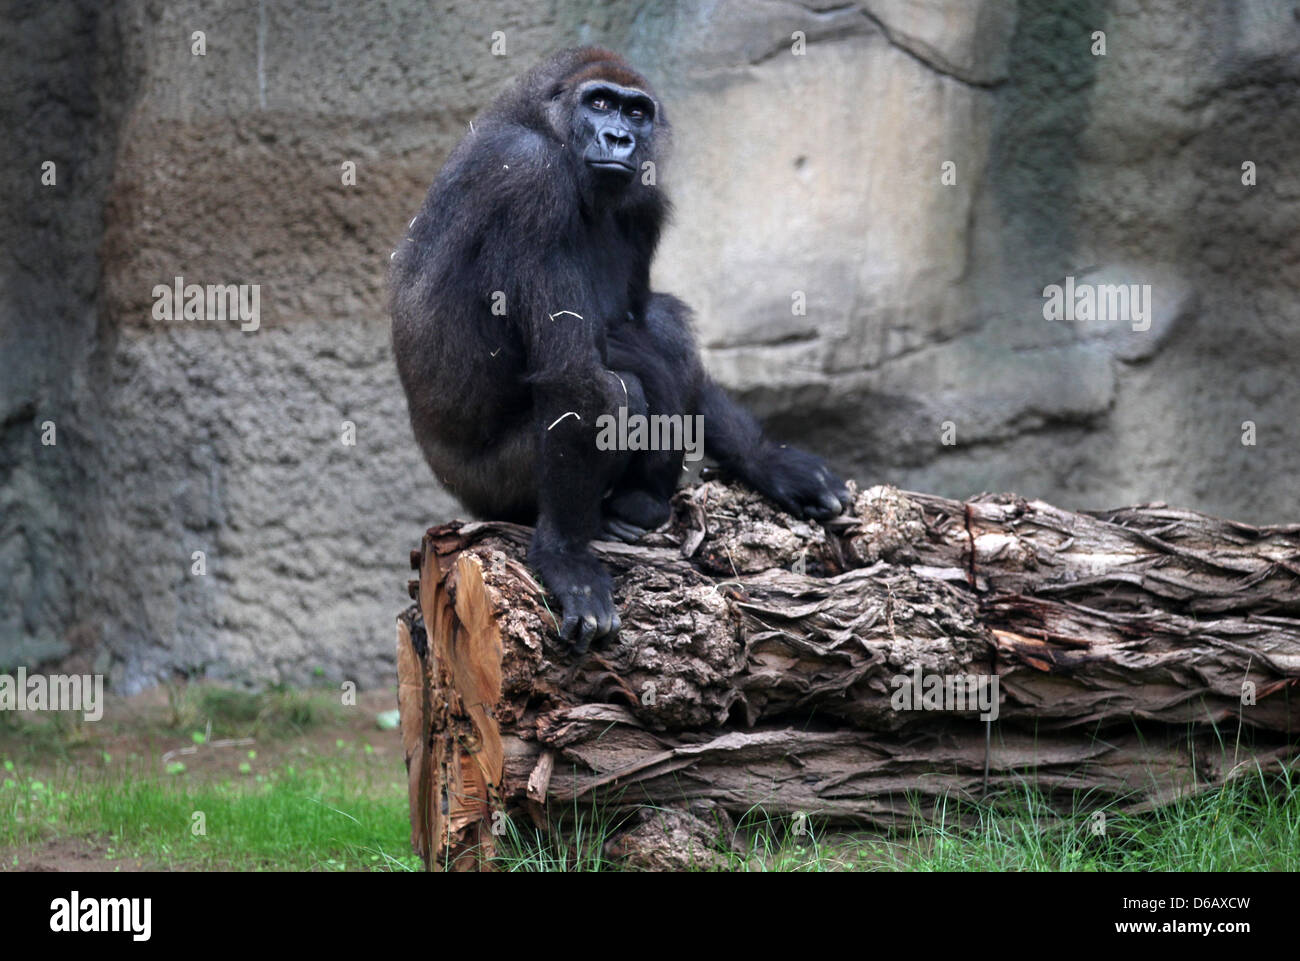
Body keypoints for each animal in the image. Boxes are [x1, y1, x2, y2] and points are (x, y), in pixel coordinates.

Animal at [390, 47, 848, 651]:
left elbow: (644, 322)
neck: (549, 127)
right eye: (600, 103)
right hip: (486, 493)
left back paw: (638, 502)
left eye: (636, 113)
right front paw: (565, 558)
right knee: (620, 388)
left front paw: (769, 461)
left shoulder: (645, 199)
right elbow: (577, 380)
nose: (619, 138)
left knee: (661, 327)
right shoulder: (528, 177)